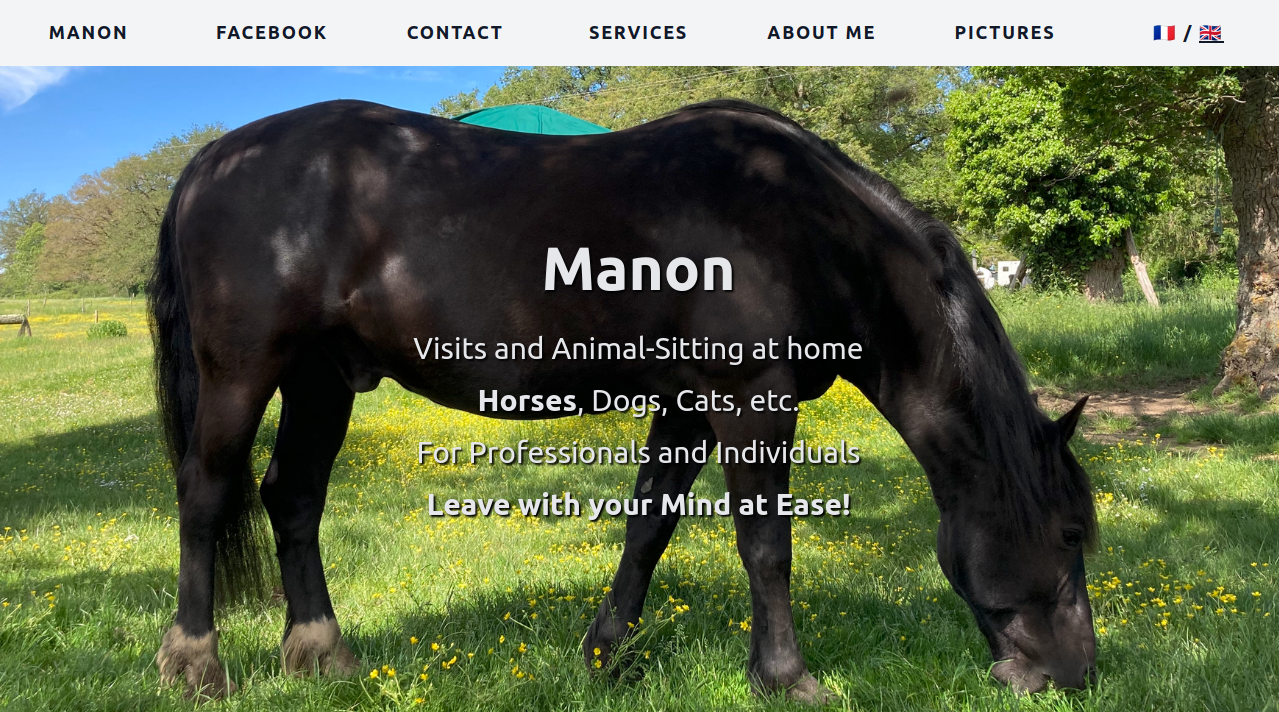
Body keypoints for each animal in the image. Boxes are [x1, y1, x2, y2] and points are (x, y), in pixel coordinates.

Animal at [148, 98, 1097, 701]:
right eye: (1069, 535)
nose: (1076, 675)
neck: (805, 225)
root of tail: (211, 160)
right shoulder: (750, 400)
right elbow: (766, 549)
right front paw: (787, 678)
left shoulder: (687, 407)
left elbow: (649, 526)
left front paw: (606, 654)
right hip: (242, 371)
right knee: (205, 495)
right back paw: (196, 664)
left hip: (319, 379)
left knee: (293, 498)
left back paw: (321, 654)